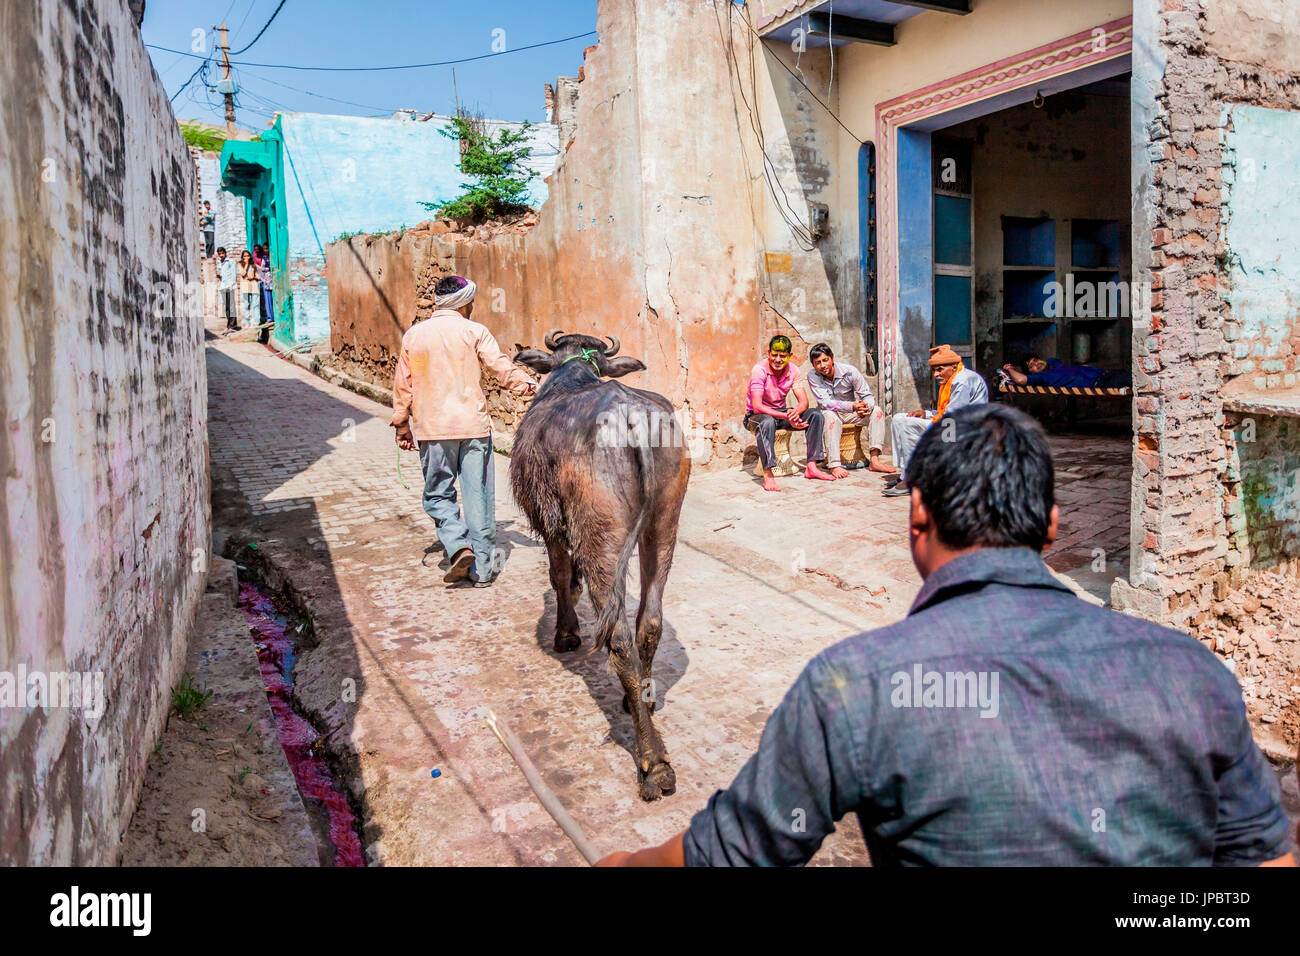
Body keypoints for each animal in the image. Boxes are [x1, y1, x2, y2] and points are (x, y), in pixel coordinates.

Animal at [510, 330, 690, 802]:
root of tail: (632, 416)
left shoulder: (550, 519)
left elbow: (559, 575)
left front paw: (566, 632)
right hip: (663, 523)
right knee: (649, 621)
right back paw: (640, 697)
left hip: (601, 537)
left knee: (621, 638)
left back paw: (653, 762)